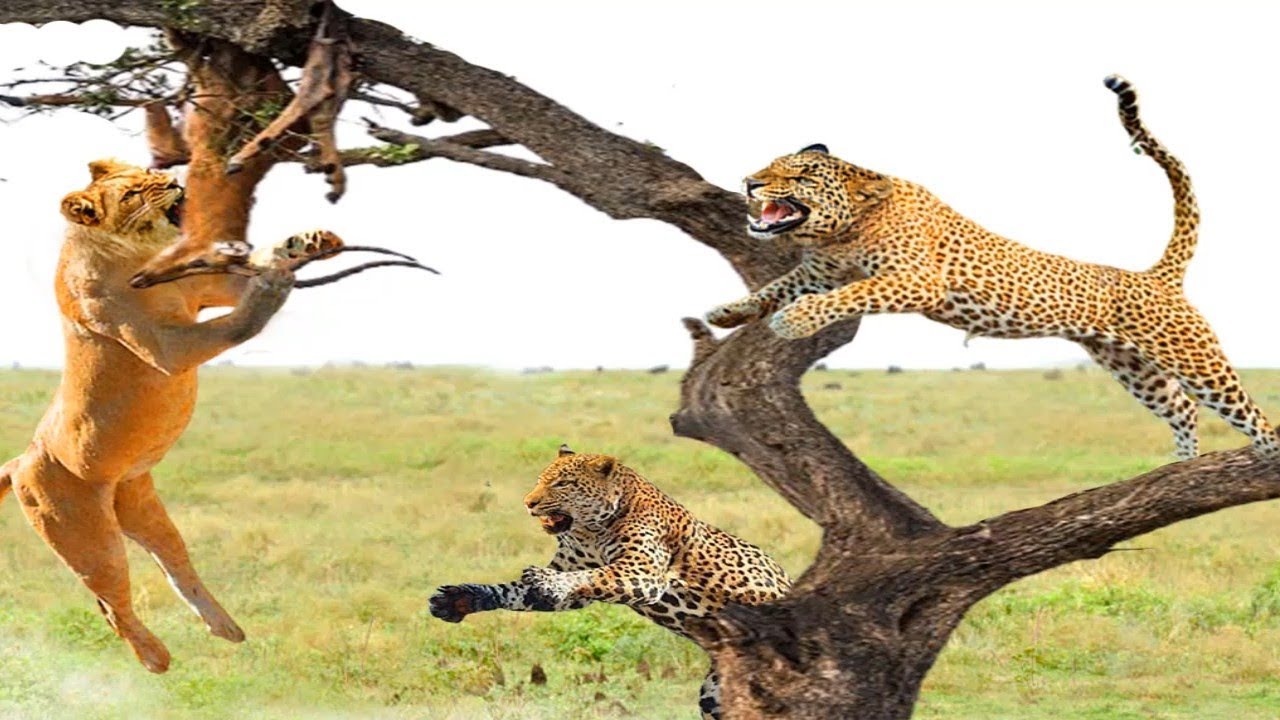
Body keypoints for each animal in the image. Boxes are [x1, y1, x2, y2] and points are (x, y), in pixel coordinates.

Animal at [428, 445, 792, 720]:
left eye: (562, 483)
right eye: (540, 480)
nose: (528, 503)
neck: (590, 530)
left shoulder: (642, 571)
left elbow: (593, 574)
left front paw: (547, 578)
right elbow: (513, 591)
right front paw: (459, 599)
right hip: (715, 695)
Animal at [706, 75, 1277, 461]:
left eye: (799, 174)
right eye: (769, 165)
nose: (750, 182)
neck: (847, 228)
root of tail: (1155, 275)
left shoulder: (917, 282)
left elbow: (844, 297)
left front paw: (795, 320)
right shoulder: (820, 270)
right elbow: (778, 284)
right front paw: (728, 312)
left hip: (1194, 357)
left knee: (1247, 410)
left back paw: (1266, 453)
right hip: (1130, 366)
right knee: (1182, 408)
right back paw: (1179, 465)